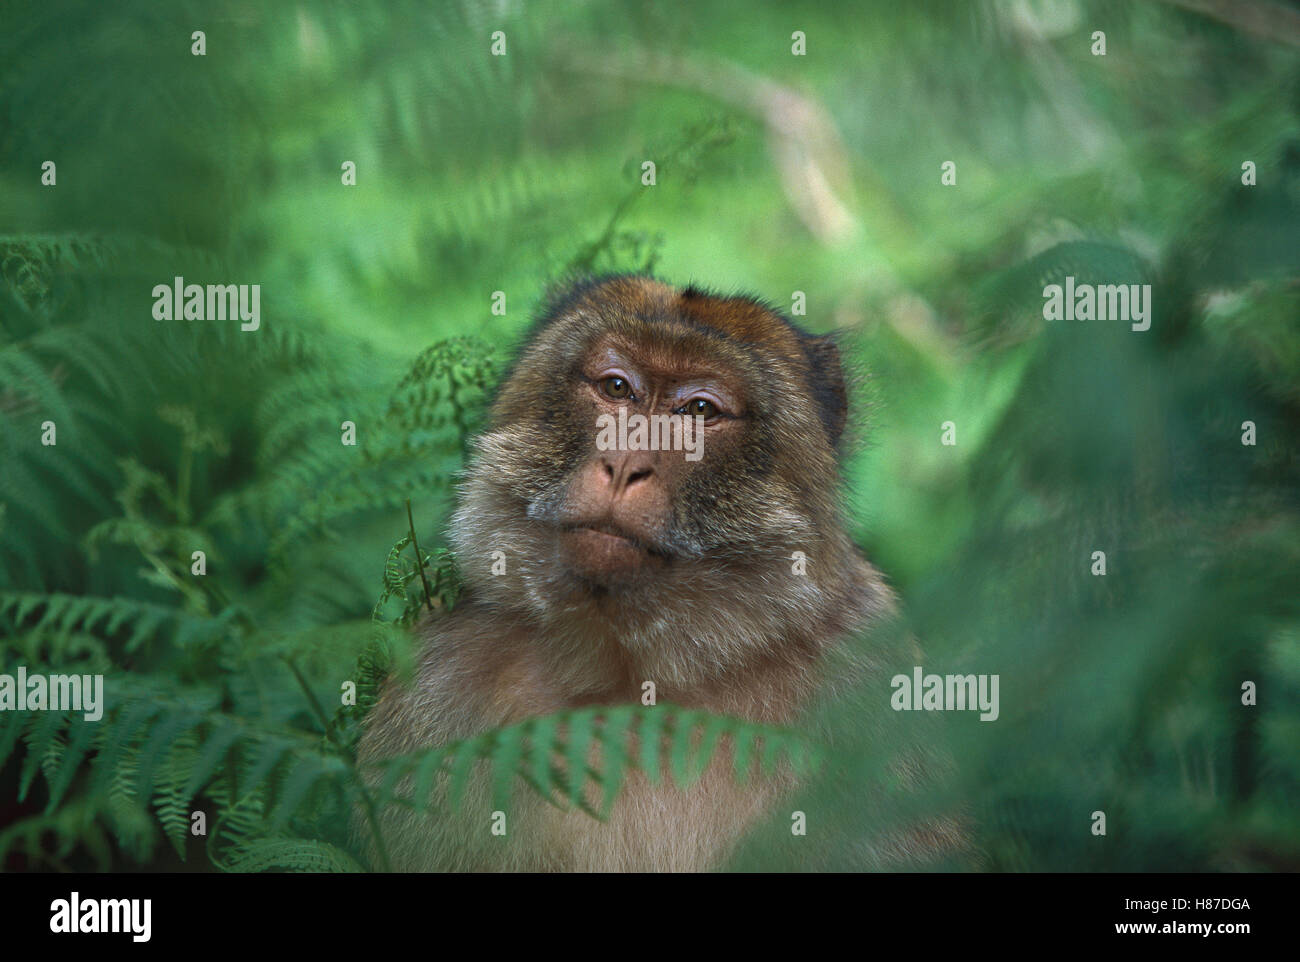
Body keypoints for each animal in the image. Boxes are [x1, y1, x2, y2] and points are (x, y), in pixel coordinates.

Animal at [355, 274, 945, 872]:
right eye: (617, 388)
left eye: (699, 410)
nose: (623, 464)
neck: (635, 669)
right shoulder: (442, 678)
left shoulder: (868, 677)